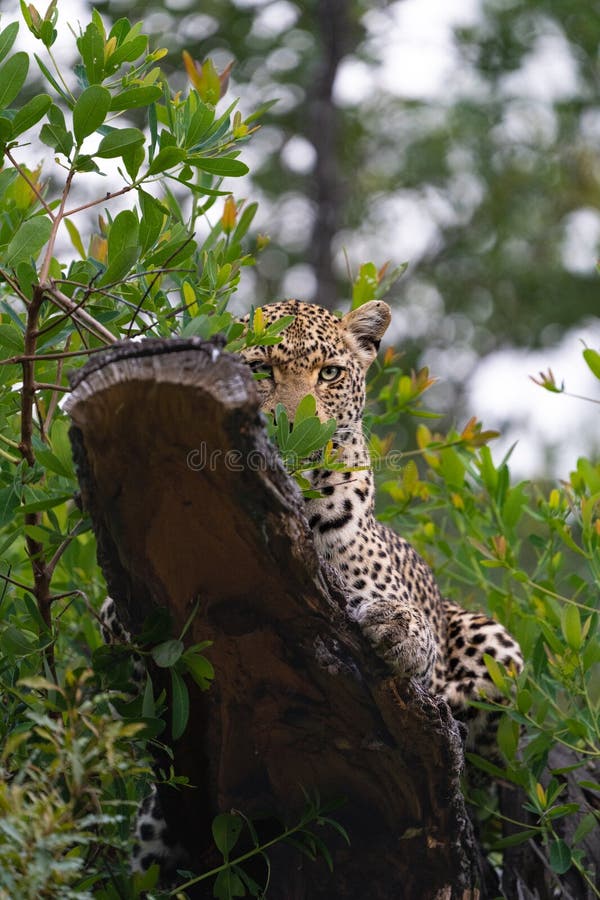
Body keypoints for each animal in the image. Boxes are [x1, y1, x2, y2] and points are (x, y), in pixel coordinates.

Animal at [99, 298, 523, 877]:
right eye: (260, 369)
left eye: (330, 374)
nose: (295, 425)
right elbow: (126, 630)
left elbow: (414, 640)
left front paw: (397, 629)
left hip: (499, 646)